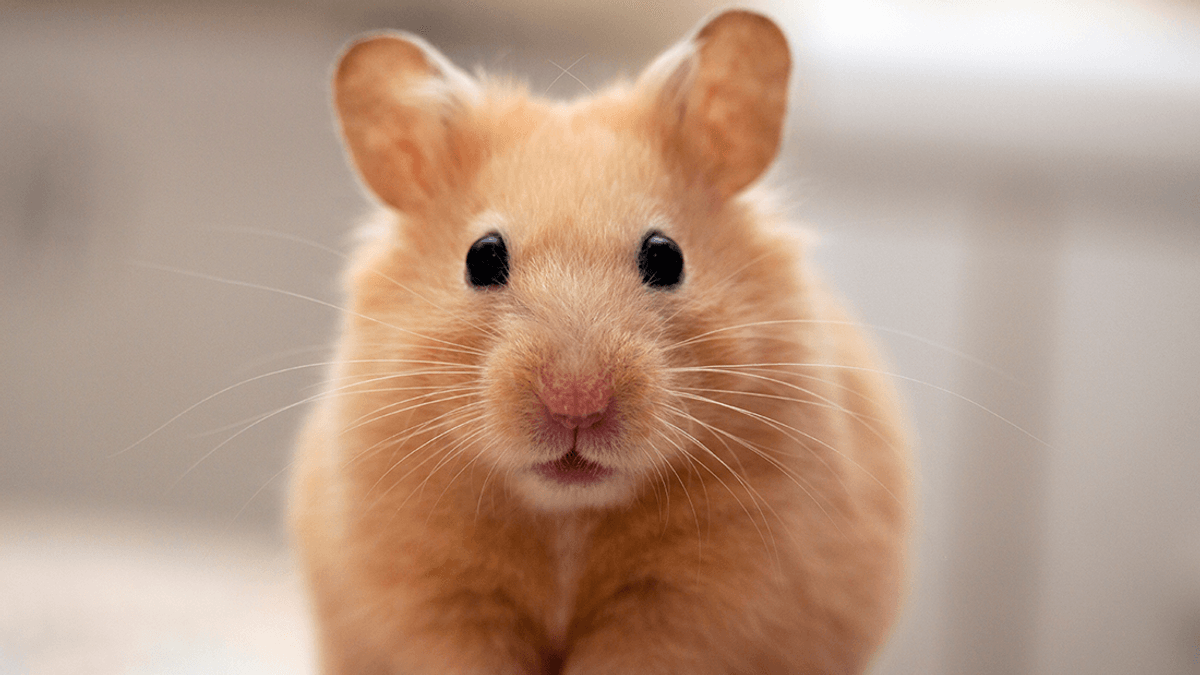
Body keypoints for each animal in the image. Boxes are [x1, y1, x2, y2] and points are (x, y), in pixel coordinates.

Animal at [289, 9, 909, 675]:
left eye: (666, 256)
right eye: (481, 258)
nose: (576, 405)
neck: (569, 513)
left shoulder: (703, 595)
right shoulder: (432, 591)